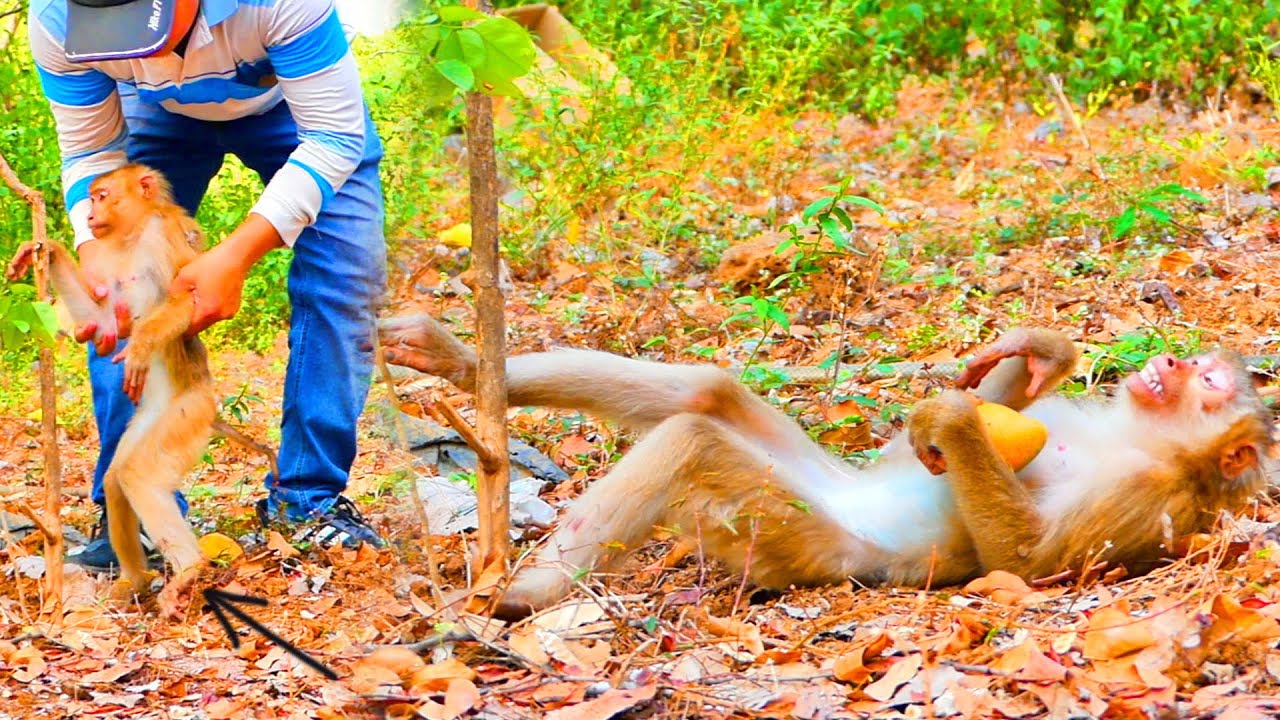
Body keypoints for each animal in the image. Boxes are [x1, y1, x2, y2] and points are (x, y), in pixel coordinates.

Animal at [7, 164, 217, 620]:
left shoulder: (163, 232)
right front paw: (48, 250)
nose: (89, 214)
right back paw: (135, 580)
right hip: (150, 414)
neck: (133, 236)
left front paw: (140, 347)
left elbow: (190, 296)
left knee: (137, 474)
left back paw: (188, 569)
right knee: (119, 476)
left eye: (102, 195)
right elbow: (105, 321)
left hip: (188, 413)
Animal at [379, 314, 1275, 620]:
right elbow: (998, 409)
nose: (1169, 361)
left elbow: (1025, 562)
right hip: (821, 480)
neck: (1139, 439)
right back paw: (465, 366)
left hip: (795, 540)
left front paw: (953, 417)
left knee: (694, 441)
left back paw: (514, 598)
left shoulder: (1150, 496)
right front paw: (1037, 354)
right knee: (706, 394)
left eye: (1208, 381)